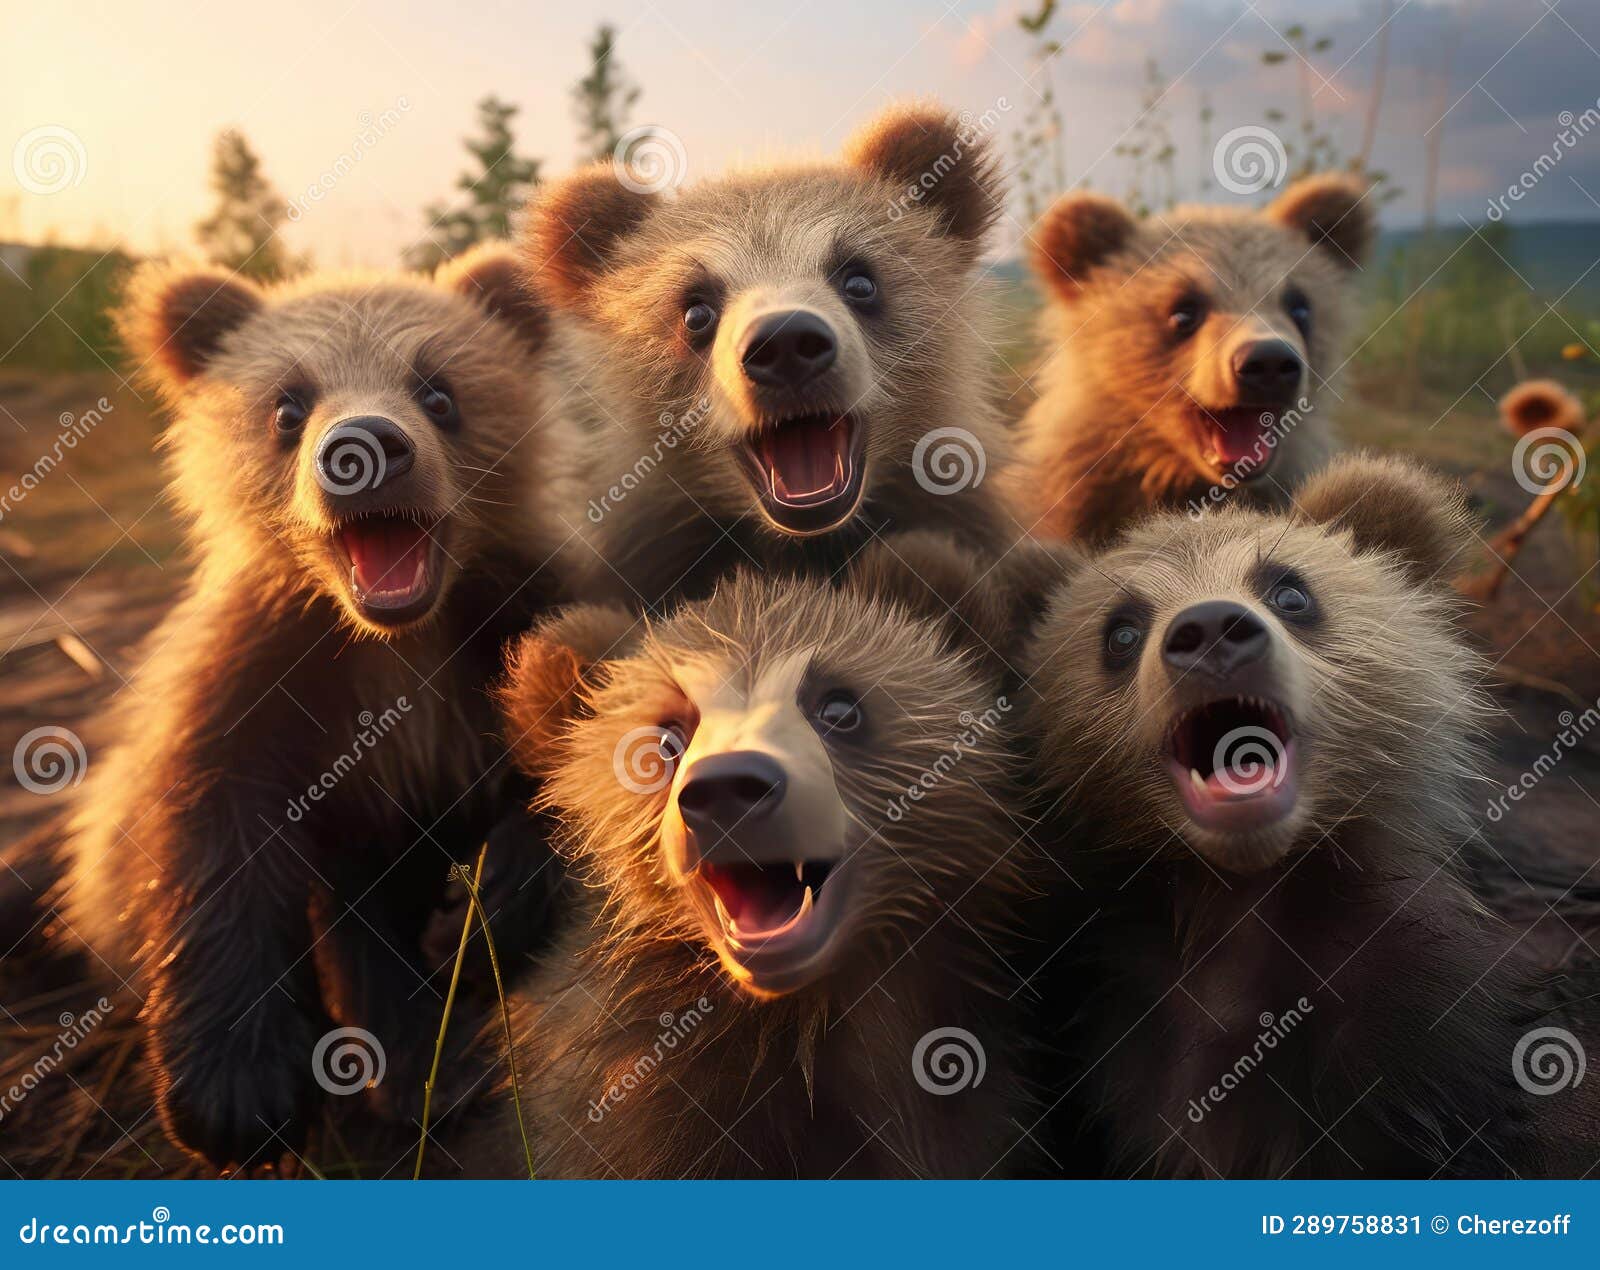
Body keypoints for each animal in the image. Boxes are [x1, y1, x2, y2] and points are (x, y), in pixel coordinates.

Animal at [49, 247, 579, 1170]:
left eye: (438, 389)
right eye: (286, 406)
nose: (365, 448)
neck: (394, 639)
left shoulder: (516, 619)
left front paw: (483, 905)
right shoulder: (262, 674)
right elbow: (212, 834)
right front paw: (234, 1093)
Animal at [1011, 453, 1586, 1177]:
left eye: (1290, 592)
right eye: (1119, 630)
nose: (1212, 632)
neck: (1243, 893)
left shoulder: (1421, 1030)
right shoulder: (1110, 1021)